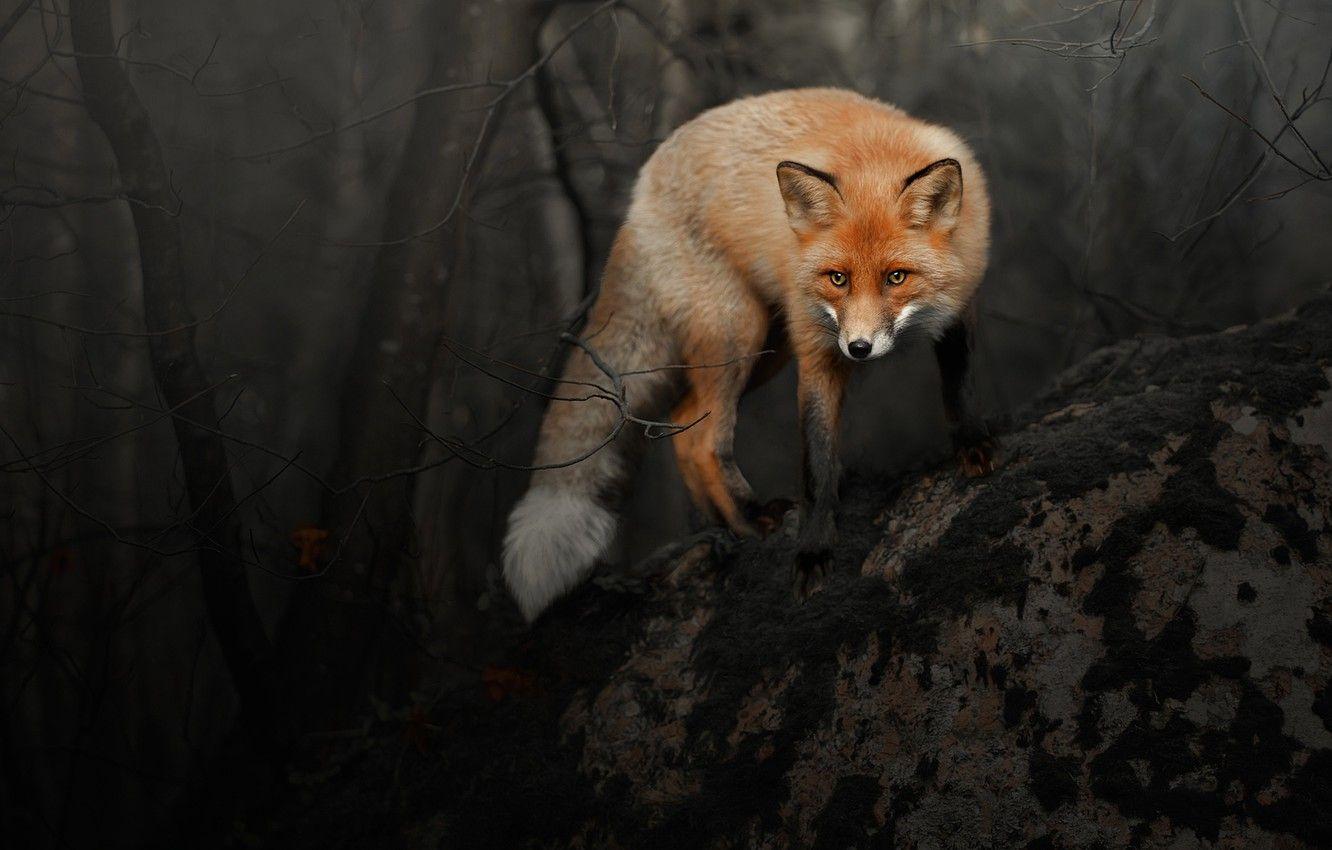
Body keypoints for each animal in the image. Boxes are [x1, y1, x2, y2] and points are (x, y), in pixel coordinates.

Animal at [503, 87, 995, 621]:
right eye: (838, 278)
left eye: (896, 277)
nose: (859, 349)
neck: (875, 155)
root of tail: (642, 190)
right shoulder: (817, 349)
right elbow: (817, 463)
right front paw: (813, 552)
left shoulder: (959, 304)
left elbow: (959, 385)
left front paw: (972, 446)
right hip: (737, 335)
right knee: (704, 439)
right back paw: (750, 517)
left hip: (765, 348)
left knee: (683, 422)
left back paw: (725, 527)